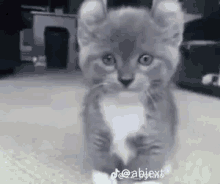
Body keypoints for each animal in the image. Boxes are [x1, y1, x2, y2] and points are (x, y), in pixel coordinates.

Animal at [77, 0, 184, 183]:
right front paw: (104, 176)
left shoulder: (155, 137)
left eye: (146, 59)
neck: (125, 106)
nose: (125, 78)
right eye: (108, 59)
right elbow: (100, 155)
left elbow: (147, 165)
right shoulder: (96, 129)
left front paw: (147, 178)